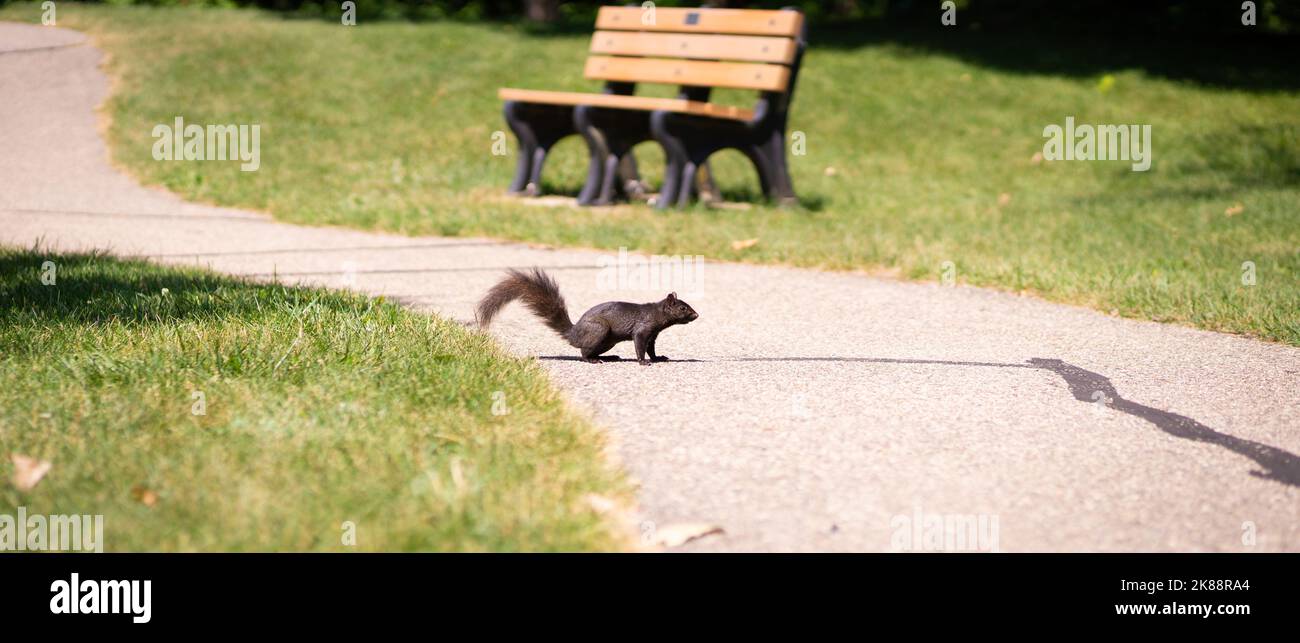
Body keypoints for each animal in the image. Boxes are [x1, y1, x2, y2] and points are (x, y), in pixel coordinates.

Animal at [476, 268, 698, 365]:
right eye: (683, 308)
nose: (696, 314)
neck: (657, 314)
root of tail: (574, 333)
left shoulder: (652, 335)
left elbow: (651, 349)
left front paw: (659, 357)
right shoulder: (643, 330)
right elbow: (640, 346)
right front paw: (643, 362)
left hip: (608, 341)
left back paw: (608, 357)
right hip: (600, 330)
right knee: (583, 353)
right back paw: (594, 361)